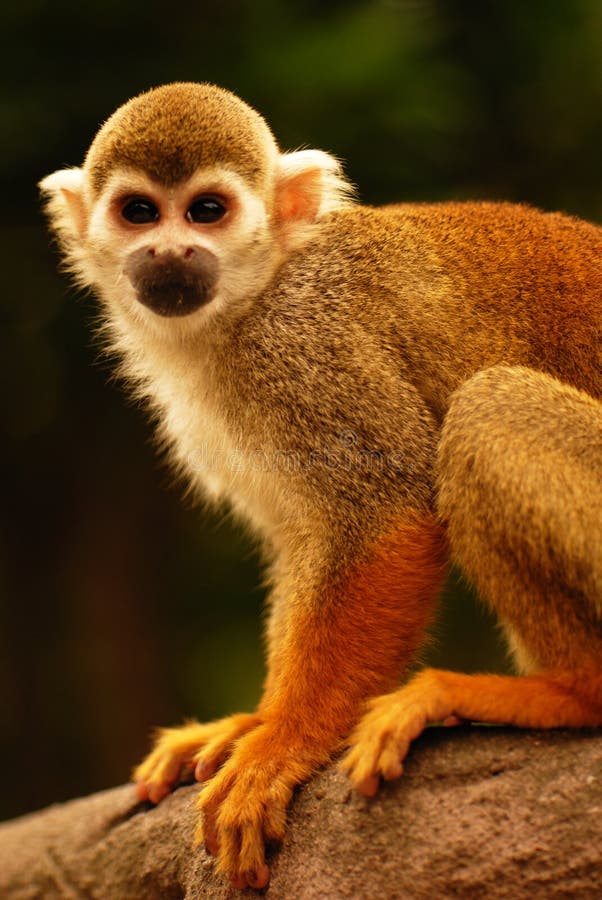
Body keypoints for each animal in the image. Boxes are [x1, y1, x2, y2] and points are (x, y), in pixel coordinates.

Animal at [40, 82, 601, 891]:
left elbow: (388, 511)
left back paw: (565, 692)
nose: (170, 252)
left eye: (207, 211)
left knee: (488, 404)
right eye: (139, 212)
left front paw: (285, 740)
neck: (255, 298)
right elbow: (302, 536)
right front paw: (253, 721)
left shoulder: (309, 345)